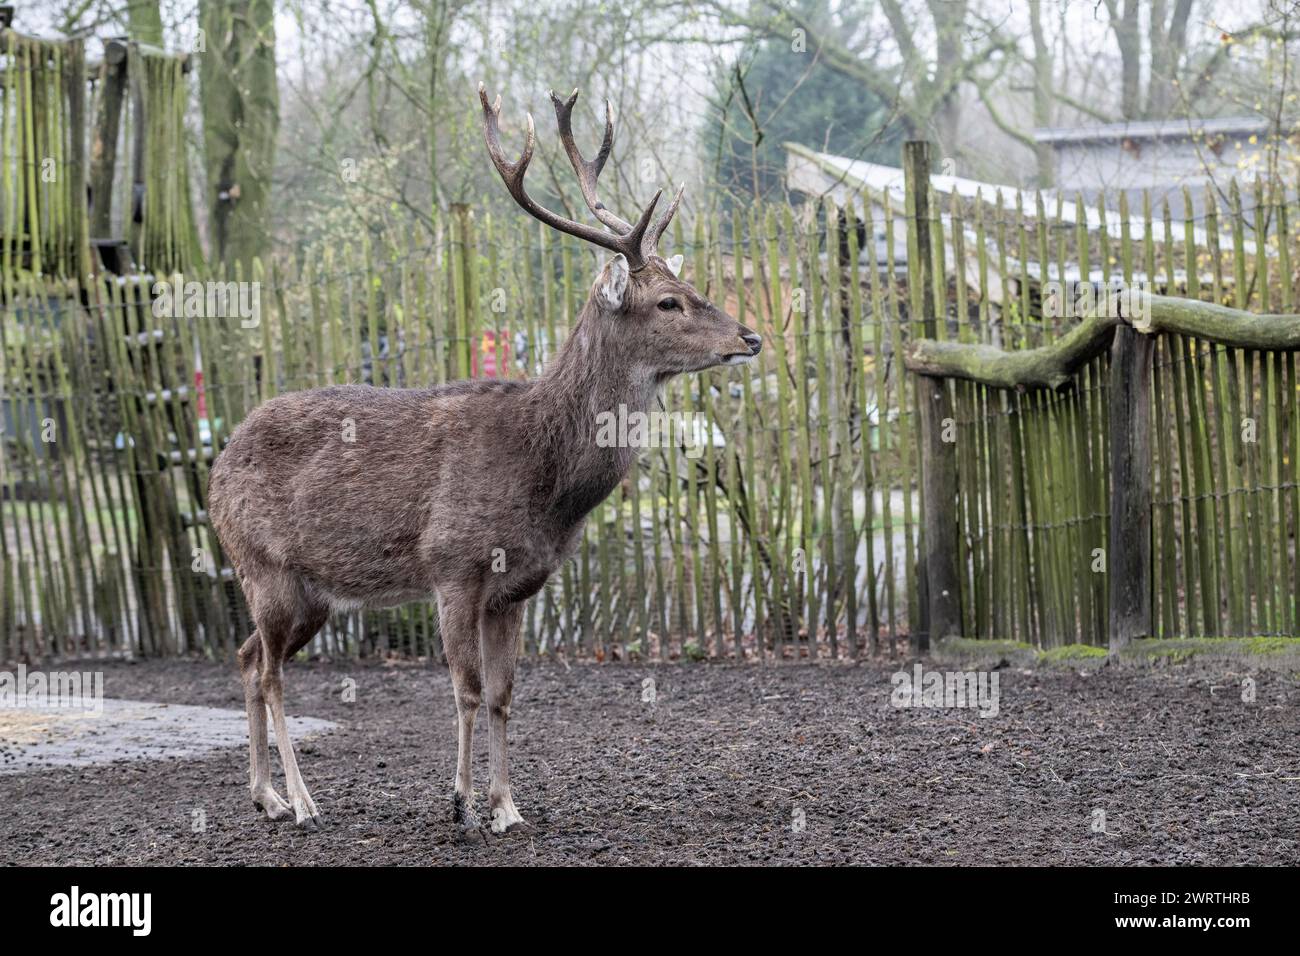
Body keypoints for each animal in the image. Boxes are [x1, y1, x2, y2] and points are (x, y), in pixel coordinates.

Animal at [206, 84, 762, 835]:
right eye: (669, 300)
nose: (749, 336)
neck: (545, 482)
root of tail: (216, 461)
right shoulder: (454, 565)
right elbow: (465, 689)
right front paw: (462, 803)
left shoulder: (517, 588)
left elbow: (503, 694)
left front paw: (507, 806)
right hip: (260, 562)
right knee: (269, 673)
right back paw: (301, 801)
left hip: (309, 590)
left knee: (244, 659)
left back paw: (263, 794)